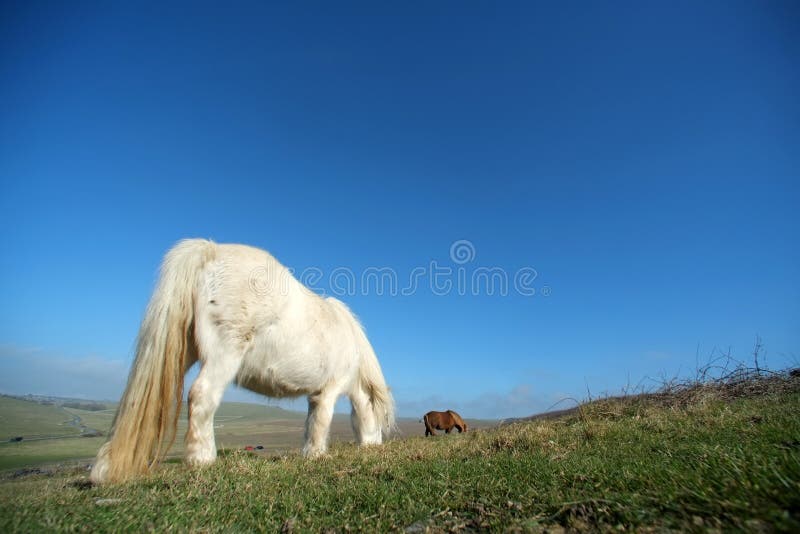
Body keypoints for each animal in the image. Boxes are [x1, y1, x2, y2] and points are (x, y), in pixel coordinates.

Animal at [91, 239, 394, 484]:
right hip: (225, 353)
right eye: (380, 420)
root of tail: (210, 251)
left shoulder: (315, 394)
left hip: (183, 352)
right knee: (202, 395)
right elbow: (321, 421)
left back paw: (104, 467)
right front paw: (318, 455)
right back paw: (202, 458)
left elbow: (311, 422)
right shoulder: (328, 390)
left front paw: (309, 453)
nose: (376, 447)